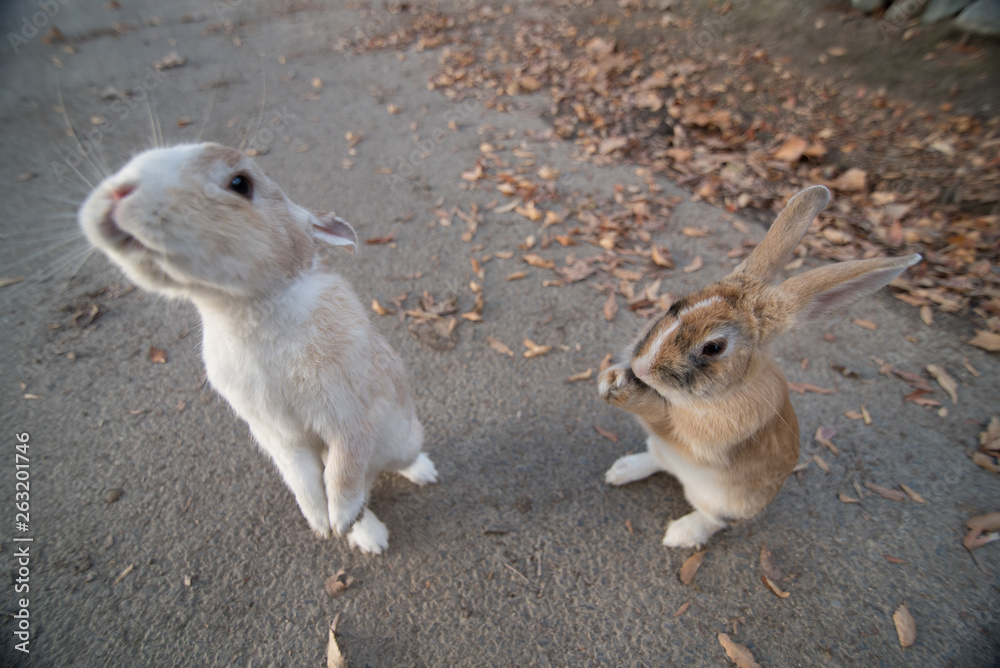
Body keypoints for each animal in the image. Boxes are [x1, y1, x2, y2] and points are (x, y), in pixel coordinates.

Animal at [78, 142, 437, 554]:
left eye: (240, 183)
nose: (118, 192)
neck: (253, 308)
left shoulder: (351, 418)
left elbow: (344, 473)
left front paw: (338, 520)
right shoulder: (280, 437)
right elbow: (306, 481)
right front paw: (323, 525)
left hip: (402, 438)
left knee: (384, 468)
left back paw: (422, 475)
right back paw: (369, 537)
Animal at [598, 185, 920, 549]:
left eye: (714, 347)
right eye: (674, 306)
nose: (641, 368)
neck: (725, 391)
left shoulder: (698, 440)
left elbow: (662, 418)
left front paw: (623, 390)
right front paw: (610, 378)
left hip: (726, 501)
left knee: (714, 520)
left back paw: (679, 534)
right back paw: (620, 472)